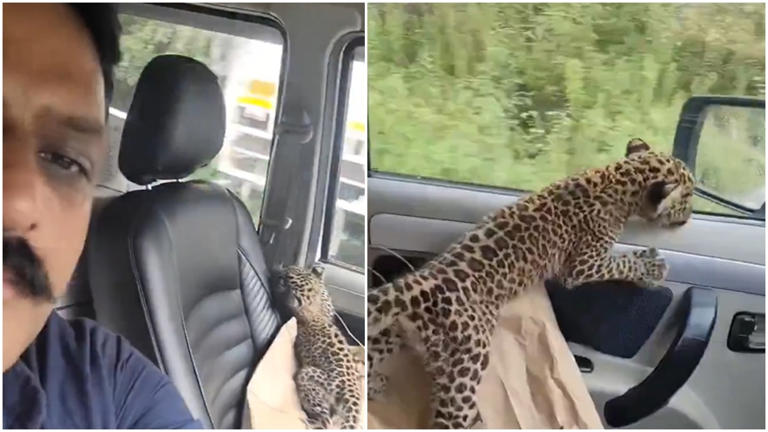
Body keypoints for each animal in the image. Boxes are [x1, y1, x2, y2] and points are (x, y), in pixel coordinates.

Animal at [278, 264, 363, 429]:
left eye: (290, 275)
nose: (280, 270)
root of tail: (352, 390)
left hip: (308, 376)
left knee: (326, 421)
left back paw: (313, 422)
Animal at [366, 138, 695, 429]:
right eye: (689, 195)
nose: (691, 215)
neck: (619, 178)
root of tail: (421, 284)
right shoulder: (583, 265)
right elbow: (622, 262)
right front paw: (653, 266)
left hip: (393, 331)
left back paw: (373, 384)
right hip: (469, 359)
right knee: (449, 415)